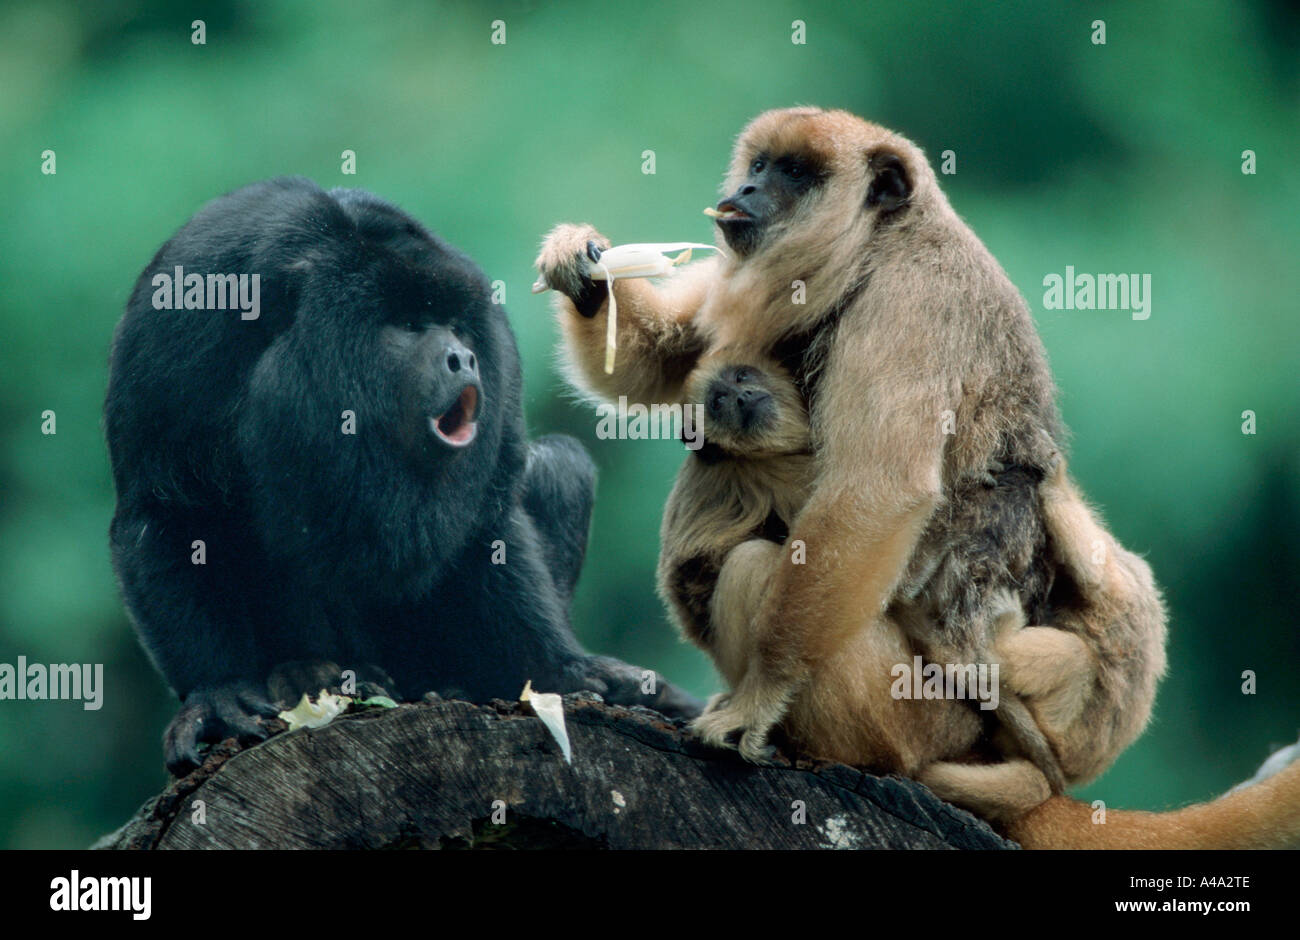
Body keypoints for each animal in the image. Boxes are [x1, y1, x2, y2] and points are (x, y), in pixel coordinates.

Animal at [535, 107, 1300, 847]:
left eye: (795, 172)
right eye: (759, 164)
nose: (747, 189)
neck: (878, 243)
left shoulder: (911, 303)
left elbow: (879, 492)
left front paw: (760, 697)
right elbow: (660, 367)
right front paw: (584, 268)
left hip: (918, 712)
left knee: (754, 566)